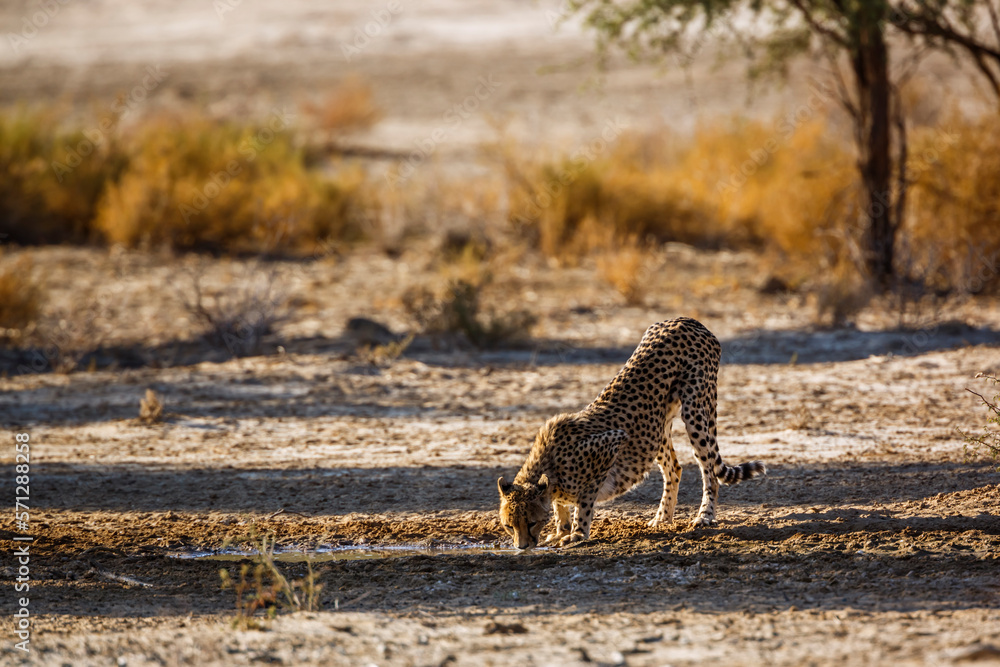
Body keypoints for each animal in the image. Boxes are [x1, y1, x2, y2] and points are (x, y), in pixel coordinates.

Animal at [497, 317, 765, 549]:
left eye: (530, 522)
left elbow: (584, 501)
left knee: (708, 469)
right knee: (674, 468)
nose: (521, 547)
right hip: (657, 426)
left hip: (696, 410)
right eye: (509, 526)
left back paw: (705, 515)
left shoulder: (611, 444)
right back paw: (663, 518)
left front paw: (577, 533)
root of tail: (687, 319)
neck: (549, 465)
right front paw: (560, 529)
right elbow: (559, 506)